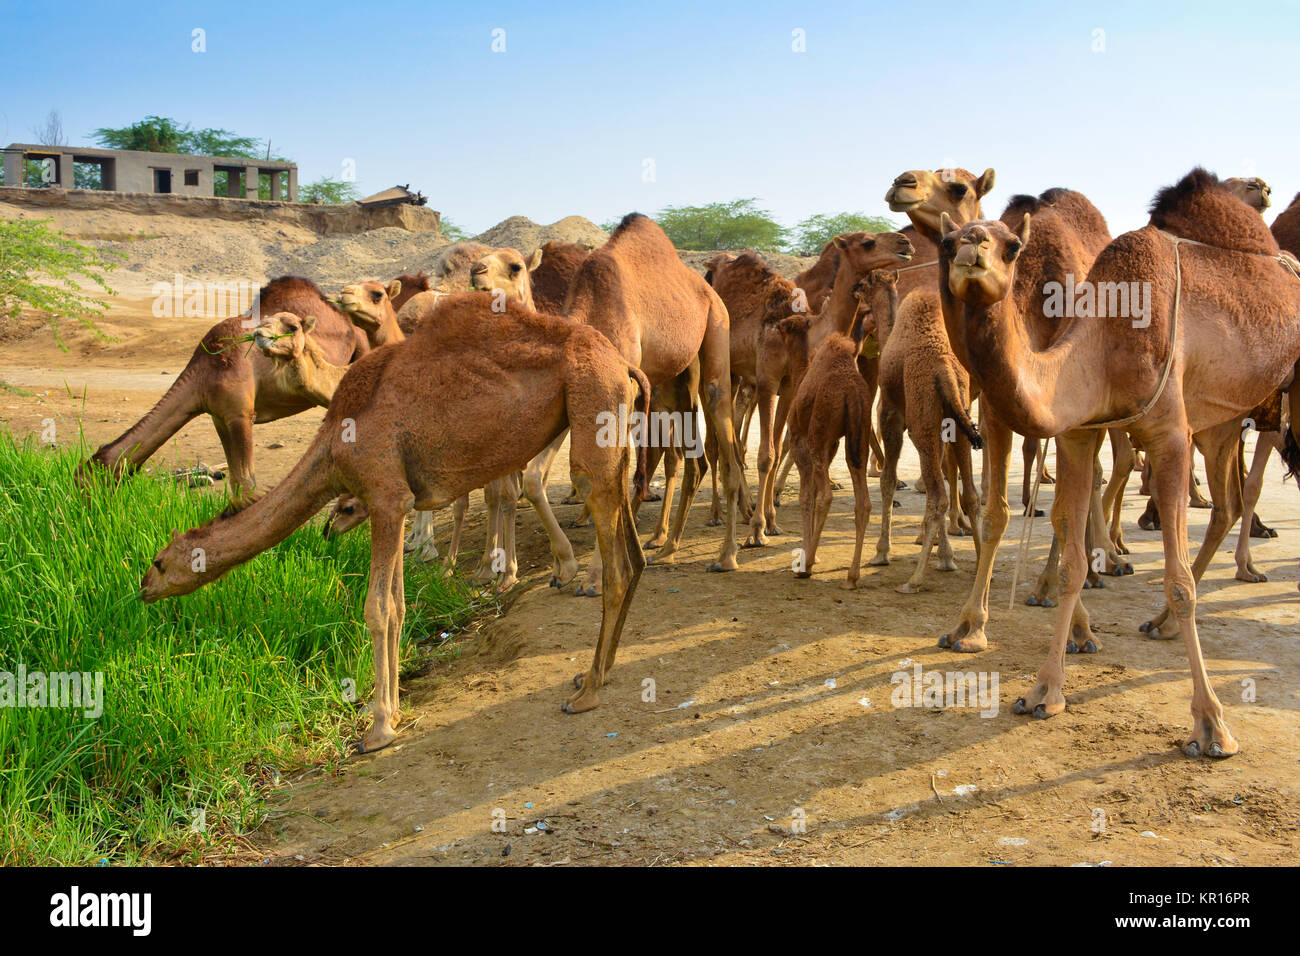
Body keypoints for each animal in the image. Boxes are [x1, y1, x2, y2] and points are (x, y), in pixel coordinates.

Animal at [76, 276, 372, 507]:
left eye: (87, 480)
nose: (80, 508)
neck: (203, 374)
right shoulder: (218, 416)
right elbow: (237, 484)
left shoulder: (240, 414)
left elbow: (247, 484)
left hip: (360, 348)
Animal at [143, 292, 652, 753]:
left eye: (160, 560)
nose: (143, 588)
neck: (334, 445)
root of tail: (622, 364)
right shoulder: (399, 504)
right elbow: (400, 605)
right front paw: (394, 710)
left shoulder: (386, 497)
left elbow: (377, 608)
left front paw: (378, 729)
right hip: (614, 427)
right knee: (634, 552)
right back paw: (596, 673)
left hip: (592, 406)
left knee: (611, 544)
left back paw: (586, 689)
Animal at [783, 272, 895, 588]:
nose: (777, 325)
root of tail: (851, 394)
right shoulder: (832, 443)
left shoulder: (801, 441)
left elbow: (806, 497)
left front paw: (808, 557)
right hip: (854, 439)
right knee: (864, 502)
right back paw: (852, 575)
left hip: (819, 439)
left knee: (825, 495)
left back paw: (808, 565)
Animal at [871, 286, 983, 591]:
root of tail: (944, 368)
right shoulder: (943, 425)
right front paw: (946, 556)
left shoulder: (890, 414)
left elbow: (888, 480)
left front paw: (881, 553)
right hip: (959, 415)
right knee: (969, 494)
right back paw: (982, 563)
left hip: (920, 425)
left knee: (938, 495)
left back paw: (914, 580)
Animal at [939, 167, 1300, 757]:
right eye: (947, 244)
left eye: (1013, 246)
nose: (970, 247)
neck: (1107, 341)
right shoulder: (1079, 433)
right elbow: (1071, 563)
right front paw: (1044, 691)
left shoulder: (1171, 435)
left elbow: (1179, 582)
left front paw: (1211, 726)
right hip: (1223, 420)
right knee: (1225, 503)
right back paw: (1163, 623)